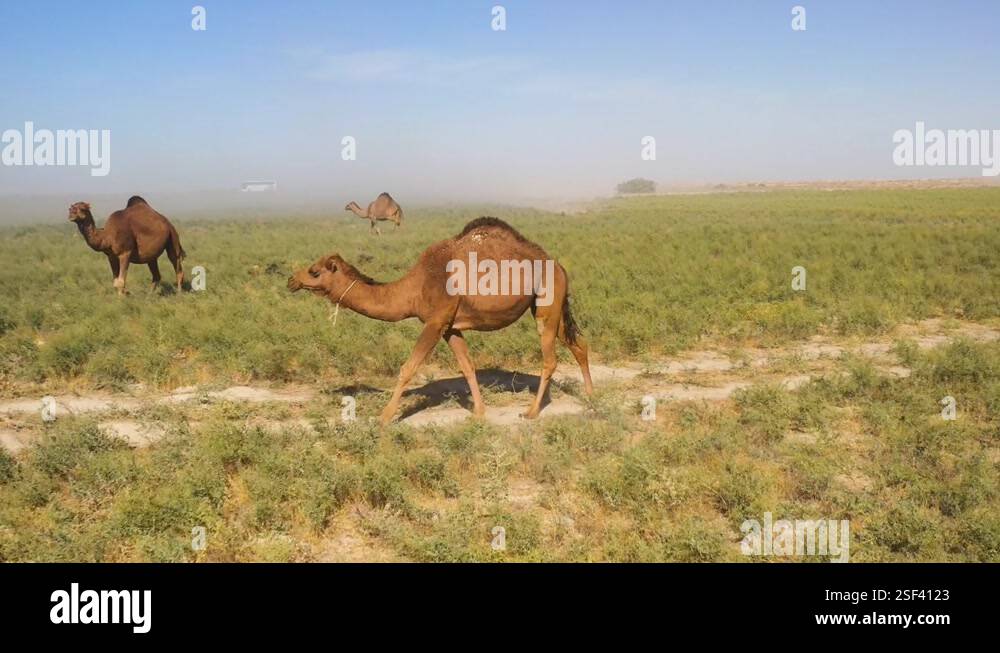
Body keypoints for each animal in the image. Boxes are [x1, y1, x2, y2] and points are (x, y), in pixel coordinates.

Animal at [289, 216, 593, 426]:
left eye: (314, 271)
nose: (292, 280)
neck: (414, 288)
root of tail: (559, 265)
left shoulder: (434, 322)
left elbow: (408, 368)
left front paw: (384, 417)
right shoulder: (450, 327)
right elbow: (467, 366)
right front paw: (479, 412)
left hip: (547, 304)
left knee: (550, 359)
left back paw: (531, 412)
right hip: (548, 306)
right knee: (578, 344)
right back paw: (590, 398)